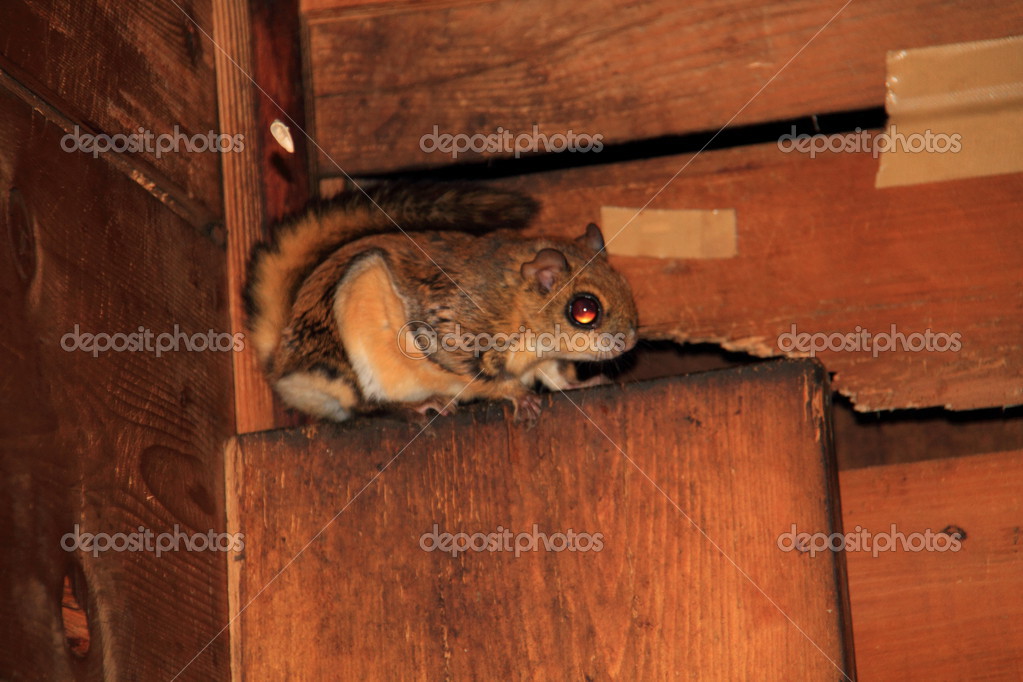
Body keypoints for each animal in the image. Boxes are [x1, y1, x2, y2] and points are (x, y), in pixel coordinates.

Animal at [245, 182, 639, 424]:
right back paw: (417, 405)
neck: (514, 303)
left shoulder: (543, 359)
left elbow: (556, 377)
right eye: (584, 311)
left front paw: (581, 384)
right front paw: (517, 394)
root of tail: (282, 363)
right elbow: (477, 376)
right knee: (361, 403)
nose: (630, 341)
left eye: (625, 284)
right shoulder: (452, 331)